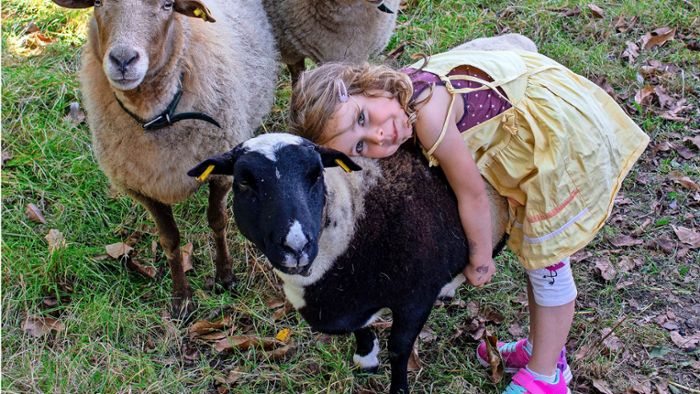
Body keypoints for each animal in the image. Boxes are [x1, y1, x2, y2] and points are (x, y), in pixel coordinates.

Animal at [52, 0, 278, 320]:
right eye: (97, 3)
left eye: (168, 5)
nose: (123, 59)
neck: (155, 114)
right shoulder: (144, 189)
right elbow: (169, 240)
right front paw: (181, 298)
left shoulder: (221, 174)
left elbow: (217, 222)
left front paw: (225, 277)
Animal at [189, 133, 512, 394]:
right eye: (244, 182)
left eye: (316, 175)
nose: (296, 246)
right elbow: (360, 327)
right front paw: (366, 357)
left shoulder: (416, 297)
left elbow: (399, 349)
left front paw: (398, 388)